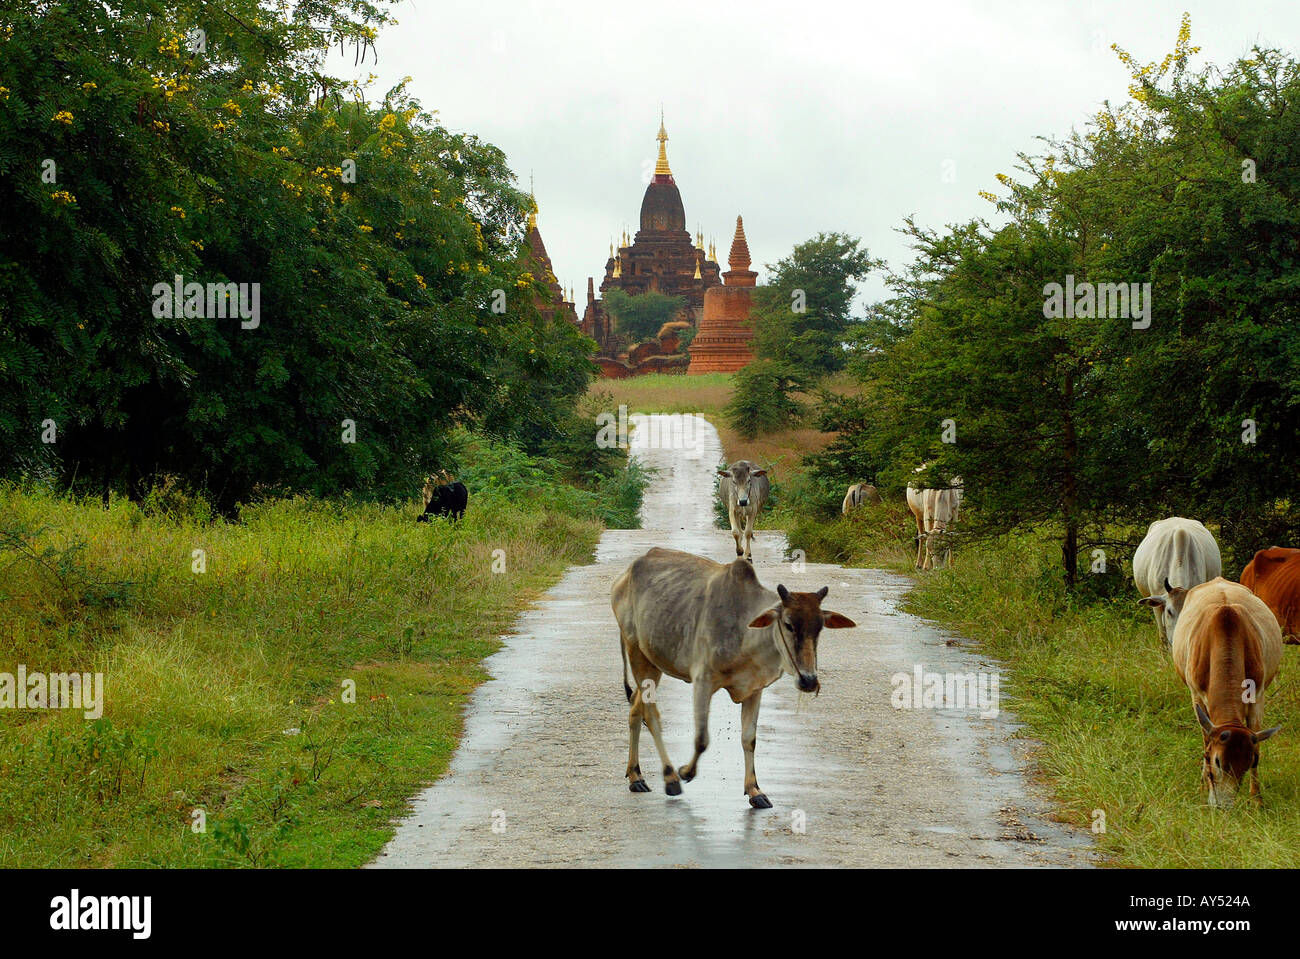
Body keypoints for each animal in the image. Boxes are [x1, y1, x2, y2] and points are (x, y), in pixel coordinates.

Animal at [611, 547, 856, 807]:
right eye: (788, 625)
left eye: (819, 628)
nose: (809, 680)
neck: (746, 633)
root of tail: (627, 573)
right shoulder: (703, 681)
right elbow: (702, 739)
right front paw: (686, 772)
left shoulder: (755, 689)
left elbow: (749, 739)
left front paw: (755, 790)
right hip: (636, 653)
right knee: (651, 714)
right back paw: (670, 777)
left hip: (652, 662)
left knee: (636, 708)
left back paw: (636, 775)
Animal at [1138, 577, 1282, 808]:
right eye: (1215, 760)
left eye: (1249, 762)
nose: (1224, 805)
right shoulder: (1197, 697)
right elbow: (1206, 738)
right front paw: (1203, 785)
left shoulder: (1258, 697)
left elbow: (1257, 743)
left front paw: (1257, 800)